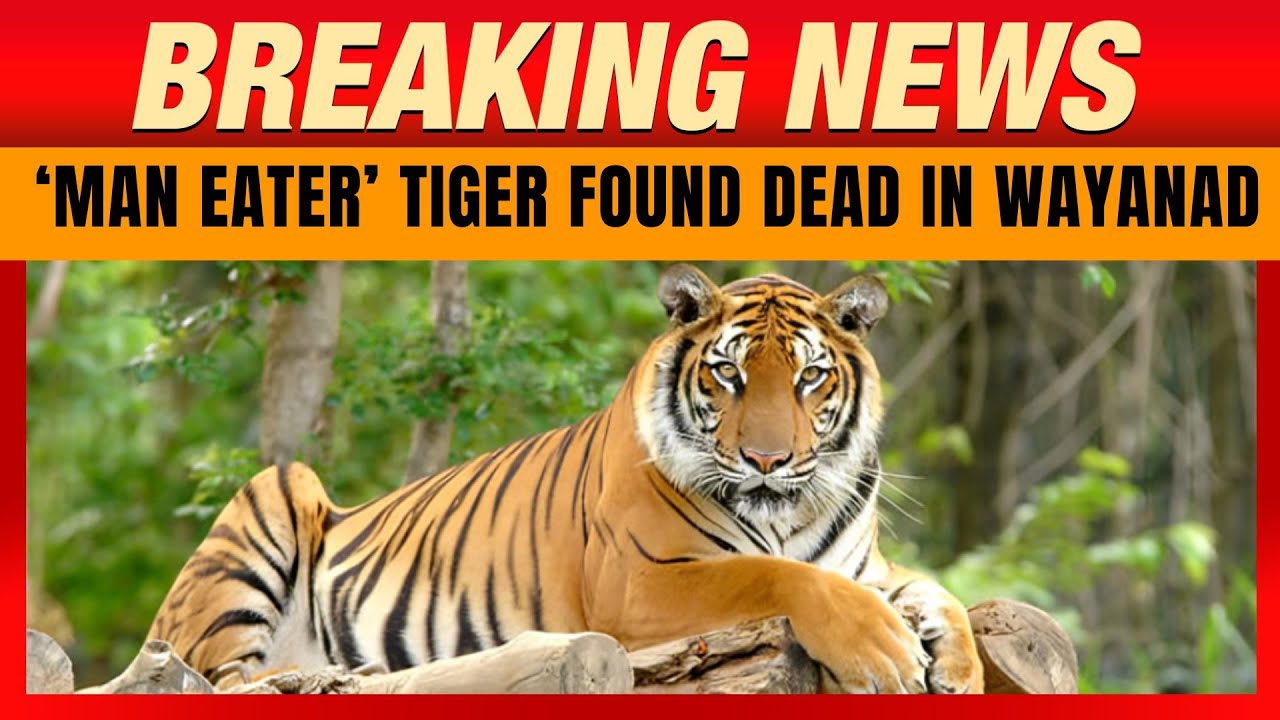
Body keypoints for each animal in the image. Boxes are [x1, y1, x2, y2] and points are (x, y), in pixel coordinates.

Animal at [147, 264, 983, 694]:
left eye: (810, 377)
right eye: (729, 376)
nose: (767, 461)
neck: (786, 511)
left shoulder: (865, 567)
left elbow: (940, 594)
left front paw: (960, 670)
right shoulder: (641, 583)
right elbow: (773, 575)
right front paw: (884, 653)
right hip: (273, 497)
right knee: (221, 677)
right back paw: (319, 676)